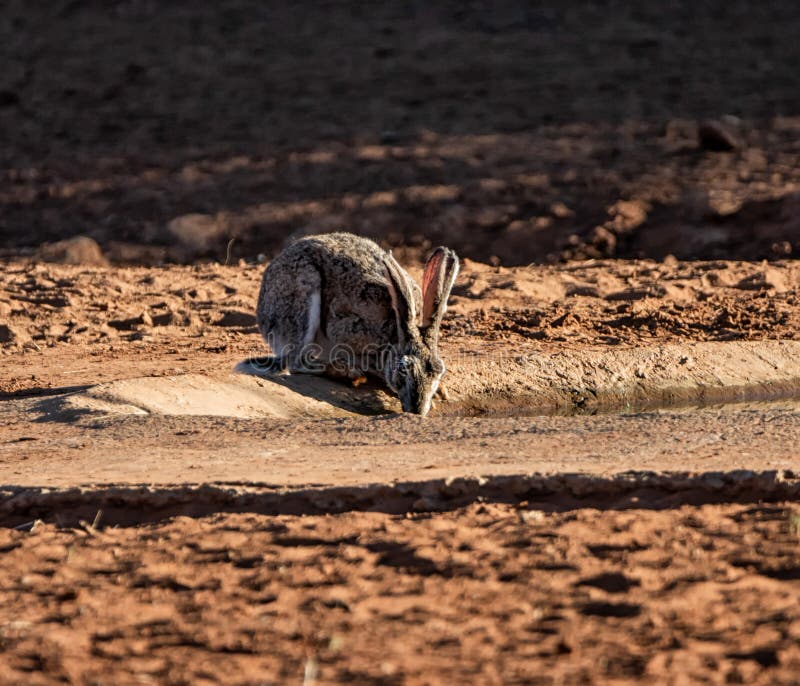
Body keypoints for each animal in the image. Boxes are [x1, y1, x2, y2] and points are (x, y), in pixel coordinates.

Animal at [240, 232, 459, 416]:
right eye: (403, 368)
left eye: (439, 371)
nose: (417, 410)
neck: (396, 332)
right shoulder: (345, 330)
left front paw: (440, 392)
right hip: (304, 293)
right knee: (296, 362)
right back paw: (345, 373)